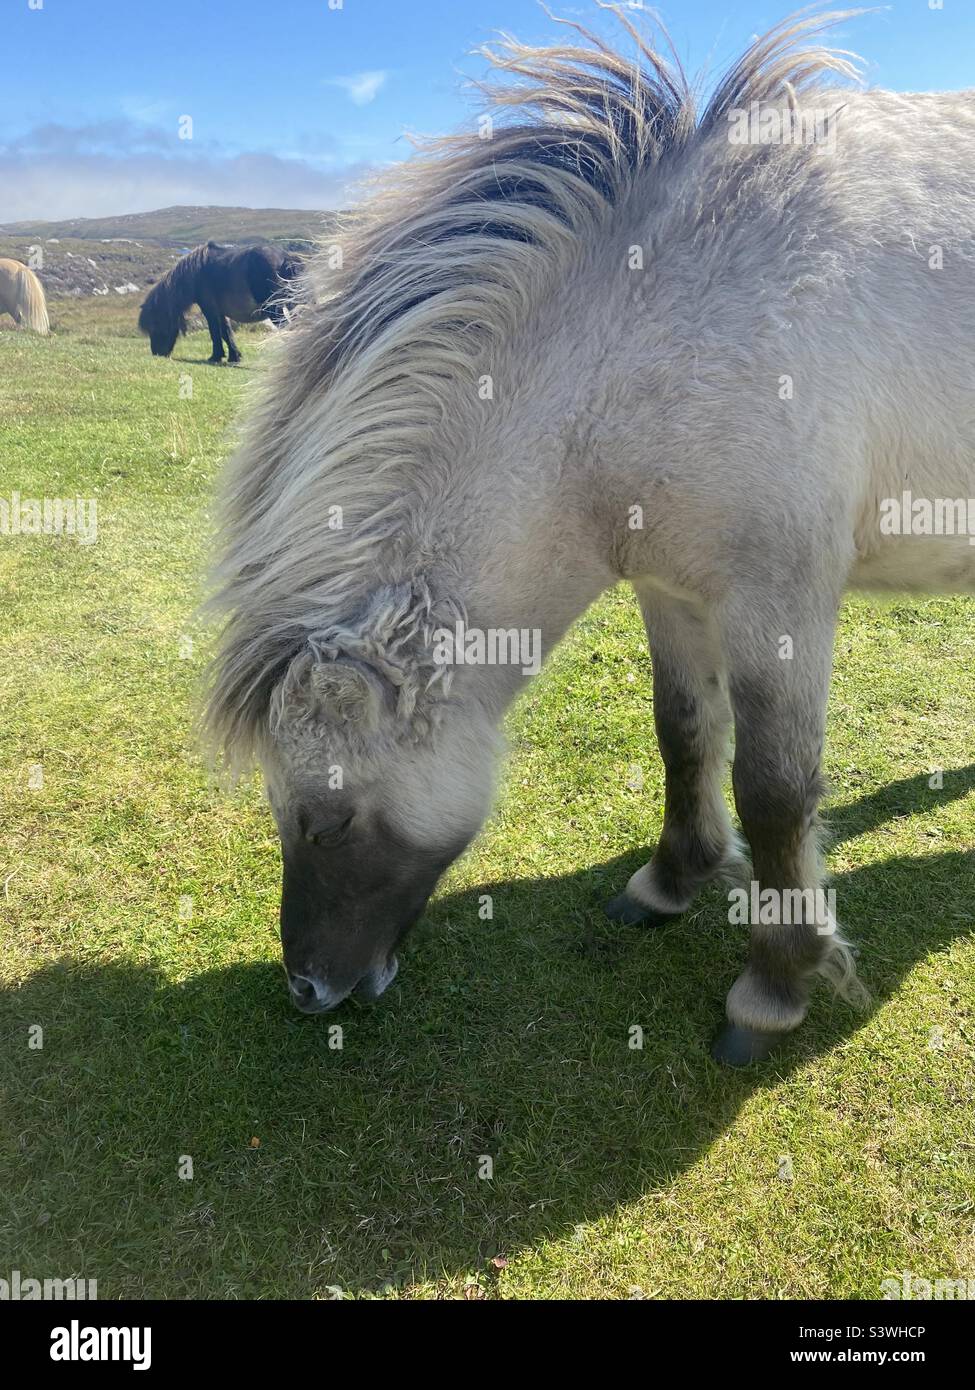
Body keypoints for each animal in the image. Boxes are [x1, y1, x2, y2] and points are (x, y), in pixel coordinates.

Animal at [138, 242, 303, 364]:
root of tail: (286, 258)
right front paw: (234, 357)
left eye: (156, 324)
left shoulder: (209, 310)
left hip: (274, 310)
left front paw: (215, 357)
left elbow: (215, 333)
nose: (157, 353)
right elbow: (226, 332)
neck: (197, 272)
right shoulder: (220, 312)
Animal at [204, 8, 975, 1066]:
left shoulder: (776, 602)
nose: (309, 989)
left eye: (326, 820)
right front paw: (671, 880)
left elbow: (776, 790)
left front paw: (774, 985)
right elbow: (683, 733)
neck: (661, 325)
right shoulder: (673, 590)